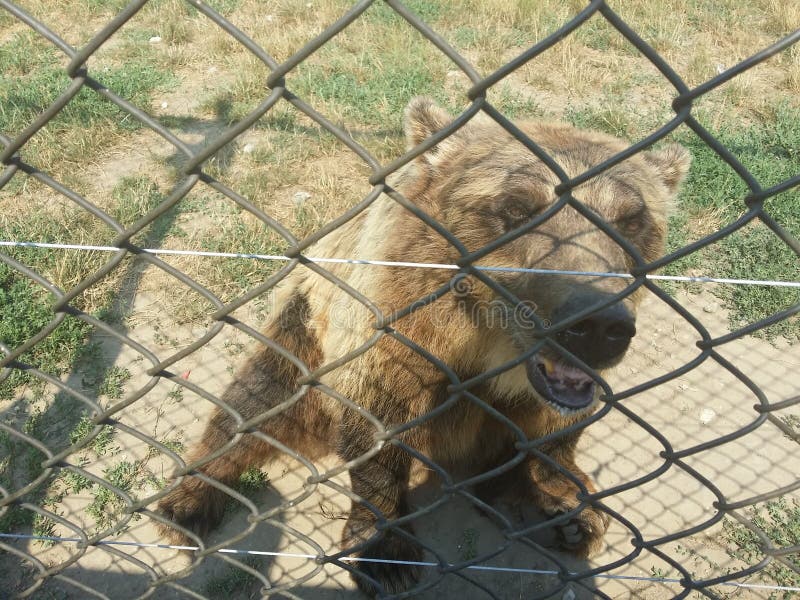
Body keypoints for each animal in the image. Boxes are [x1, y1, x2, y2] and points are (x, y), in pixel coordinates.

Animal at [156, 97, 690, 597]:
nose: (596, 323)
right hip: (302, 332)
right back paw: (188, 503)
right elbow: (376, 426)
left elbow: (556, 429)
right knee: (256, 402)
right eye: (518, 207)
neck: (484, 341)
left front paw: (565, 505)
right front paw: (386, 553)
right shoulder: (389, 329)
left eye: (631, 219)